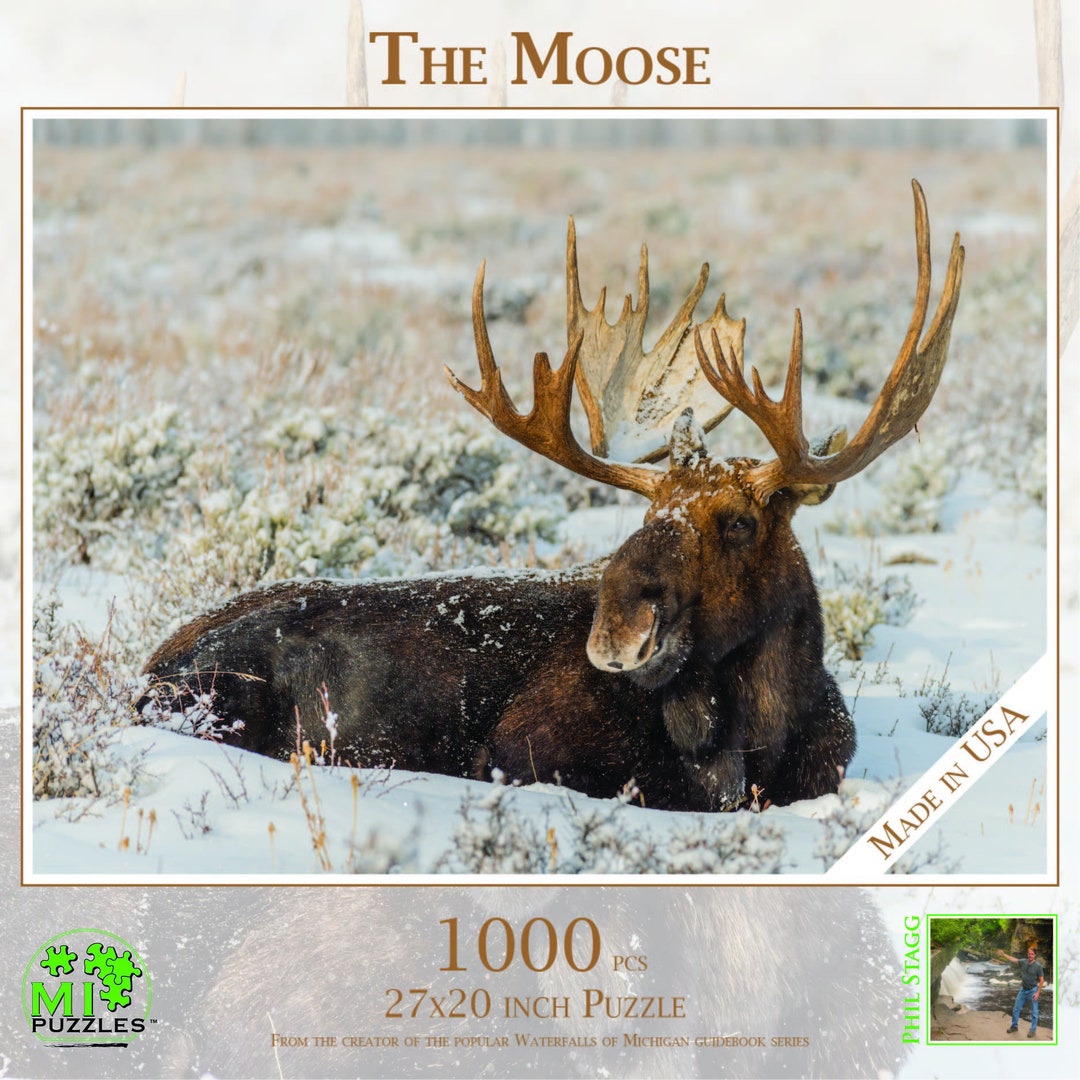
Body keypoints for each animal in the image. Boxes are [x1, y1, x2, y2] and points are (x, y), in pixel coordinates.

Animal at [141, 180, 963, 813]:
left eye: (737, 521)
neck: (770, 719)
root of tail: (149, 670)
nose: (617, 627)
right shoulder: (521, 752)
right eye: (647, 512)